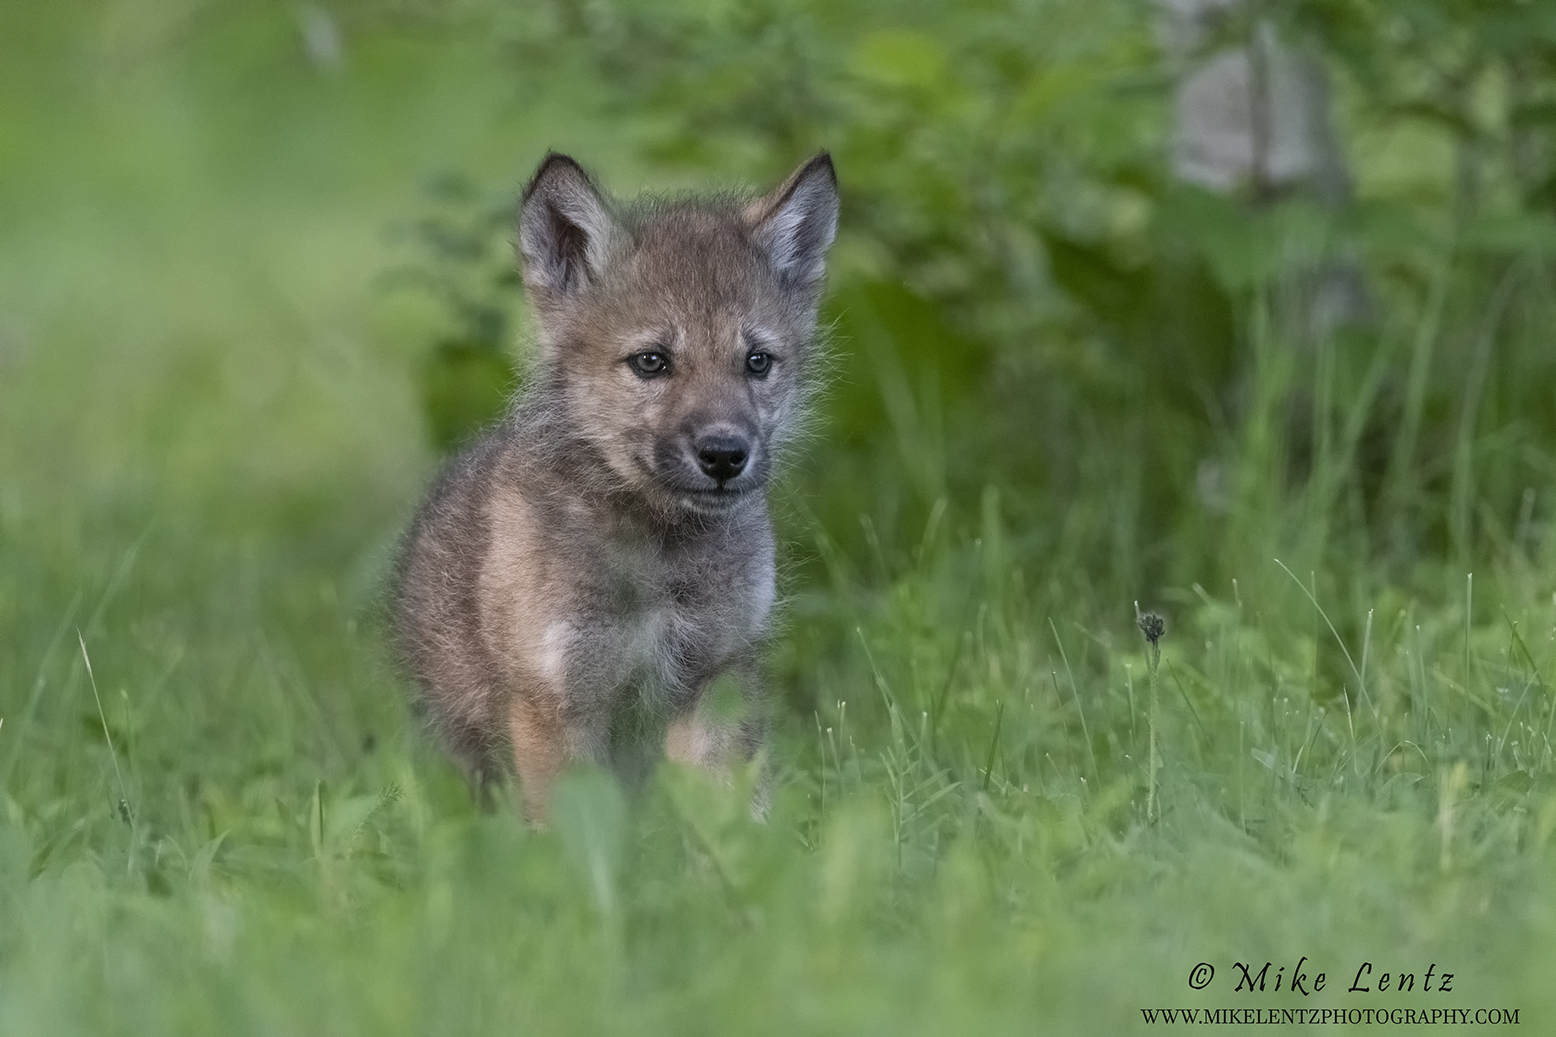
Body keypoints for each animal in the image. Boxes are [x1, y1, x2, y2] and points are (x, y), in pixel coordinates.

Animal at [391, 152, 839, 823]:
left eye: (757, 362)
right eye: (651, 362)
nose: (725, 455)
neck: (656, 553)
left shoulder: (715, 677)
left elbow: (732, 820)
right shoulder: (558, 701)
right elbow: (577, 832)